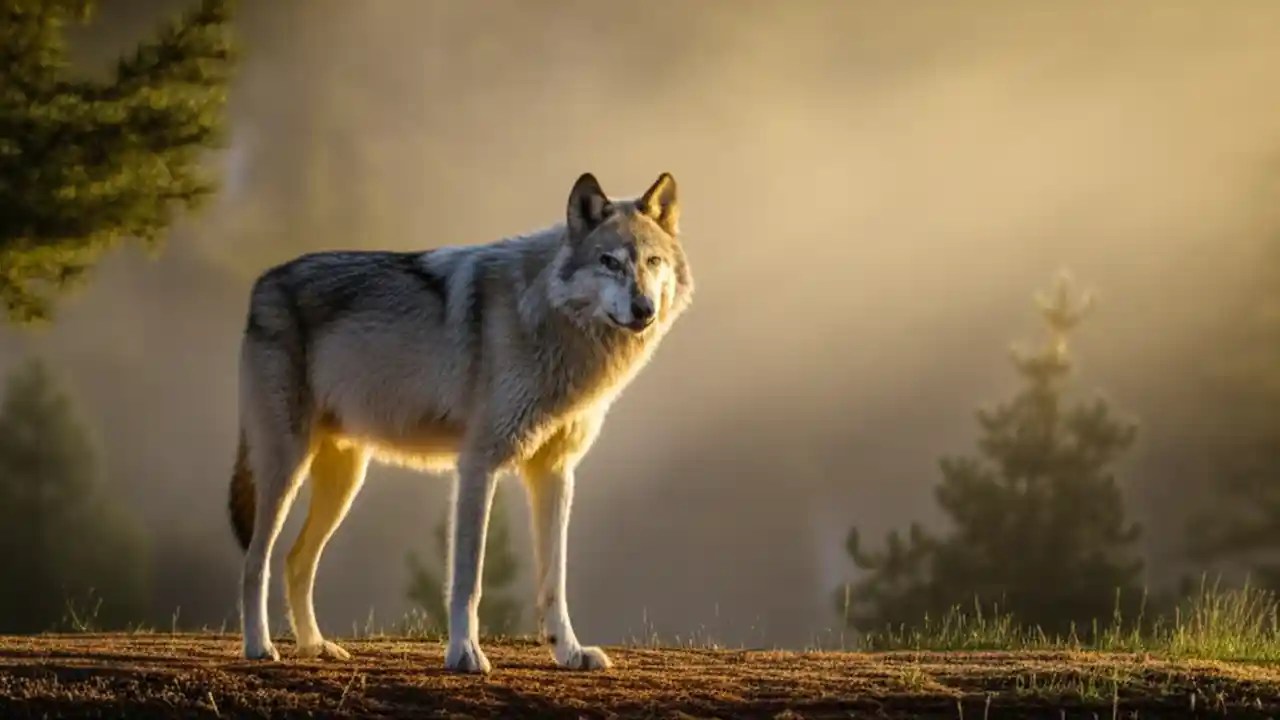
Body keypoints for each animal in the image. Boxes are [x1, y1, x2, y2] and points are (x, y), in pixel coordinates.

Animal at [227, 172, 693, 673]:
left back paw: (315, 646)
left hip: (345, 481)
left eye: (652, 261)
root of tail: (263, 283)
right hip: (286, 468)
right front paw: (465, 653)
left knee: (296, 561)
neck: (543, 315)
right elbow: (469, 578)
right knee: (256, 562)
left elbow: (555, 580)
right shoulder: (478, 466)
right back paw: (259, 646)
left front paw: (568, 652)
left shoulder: (554, 472)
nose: (644, 308)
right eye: (609, 262)